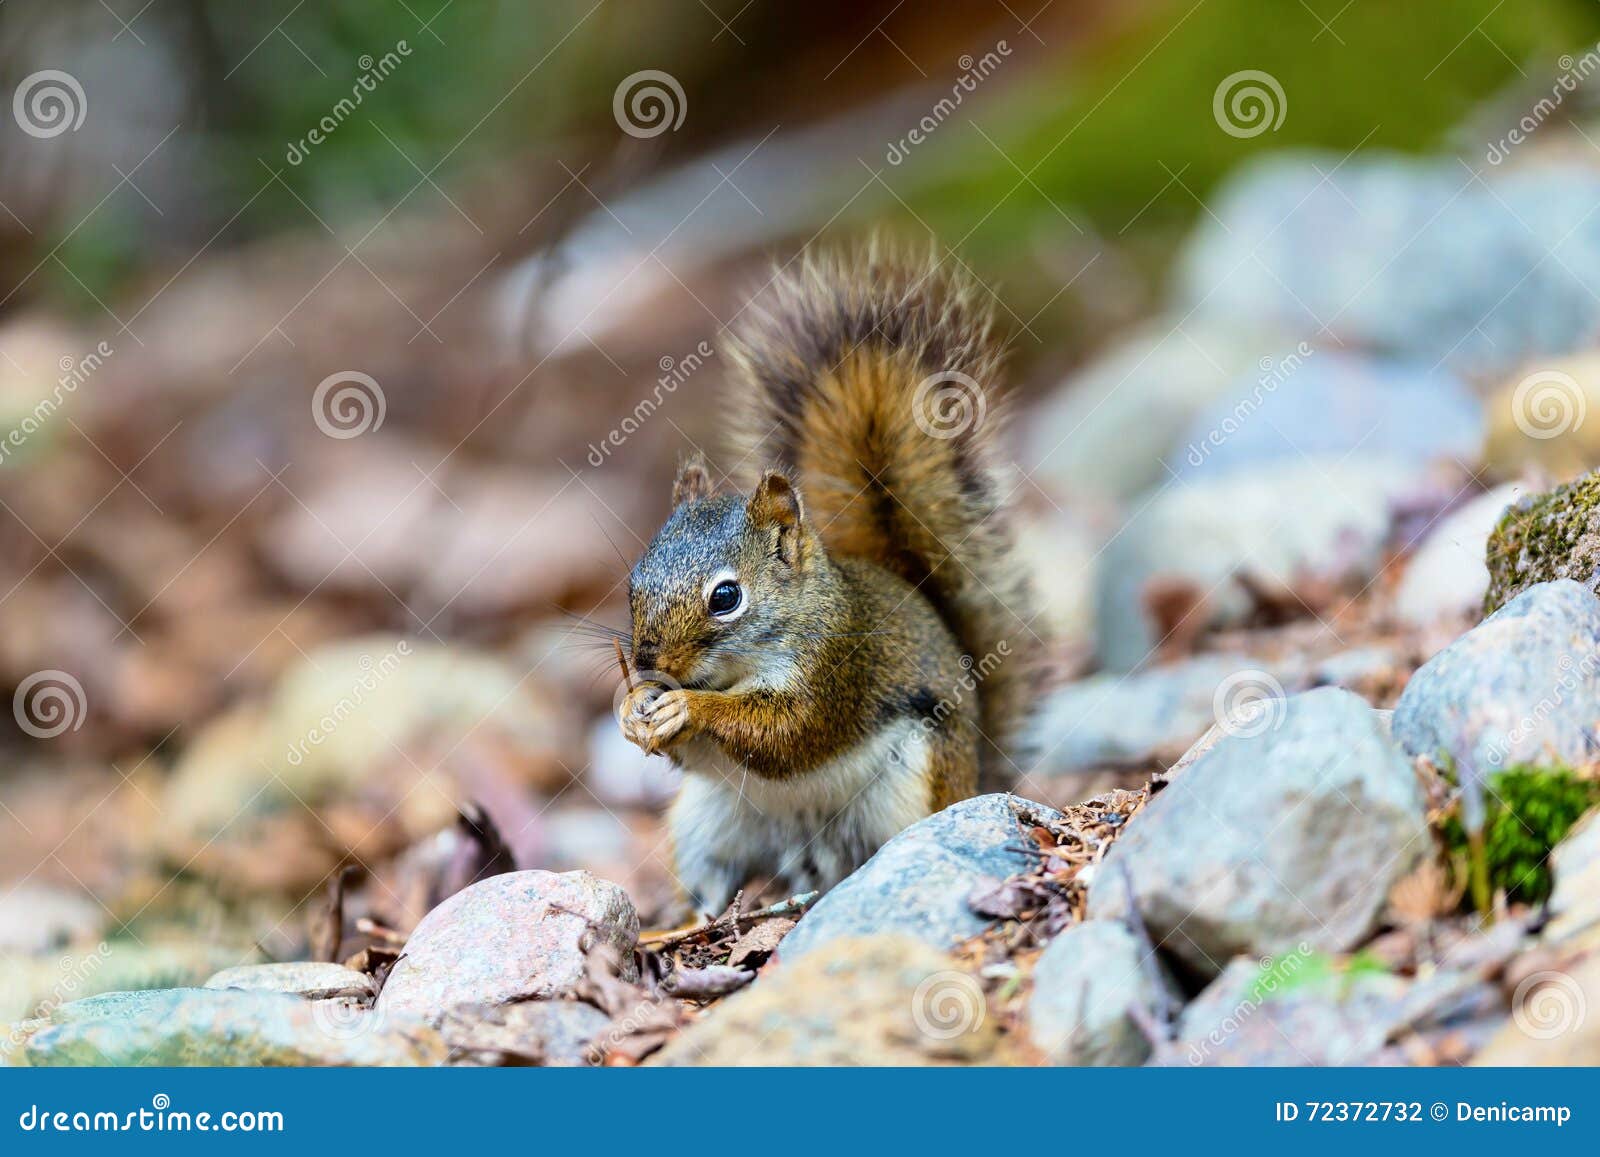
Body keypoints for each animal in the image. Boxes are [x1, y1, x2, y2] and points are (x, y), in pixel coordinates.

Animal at [617, 243, 1036, 914]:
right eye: (633, 583)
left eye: (726, 597)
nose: (648, 663)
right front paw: (635, 709)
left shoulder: (835, 667)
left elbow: (789, 733)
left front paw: (688, 706)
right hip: (706, 824)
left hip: (914, 785)